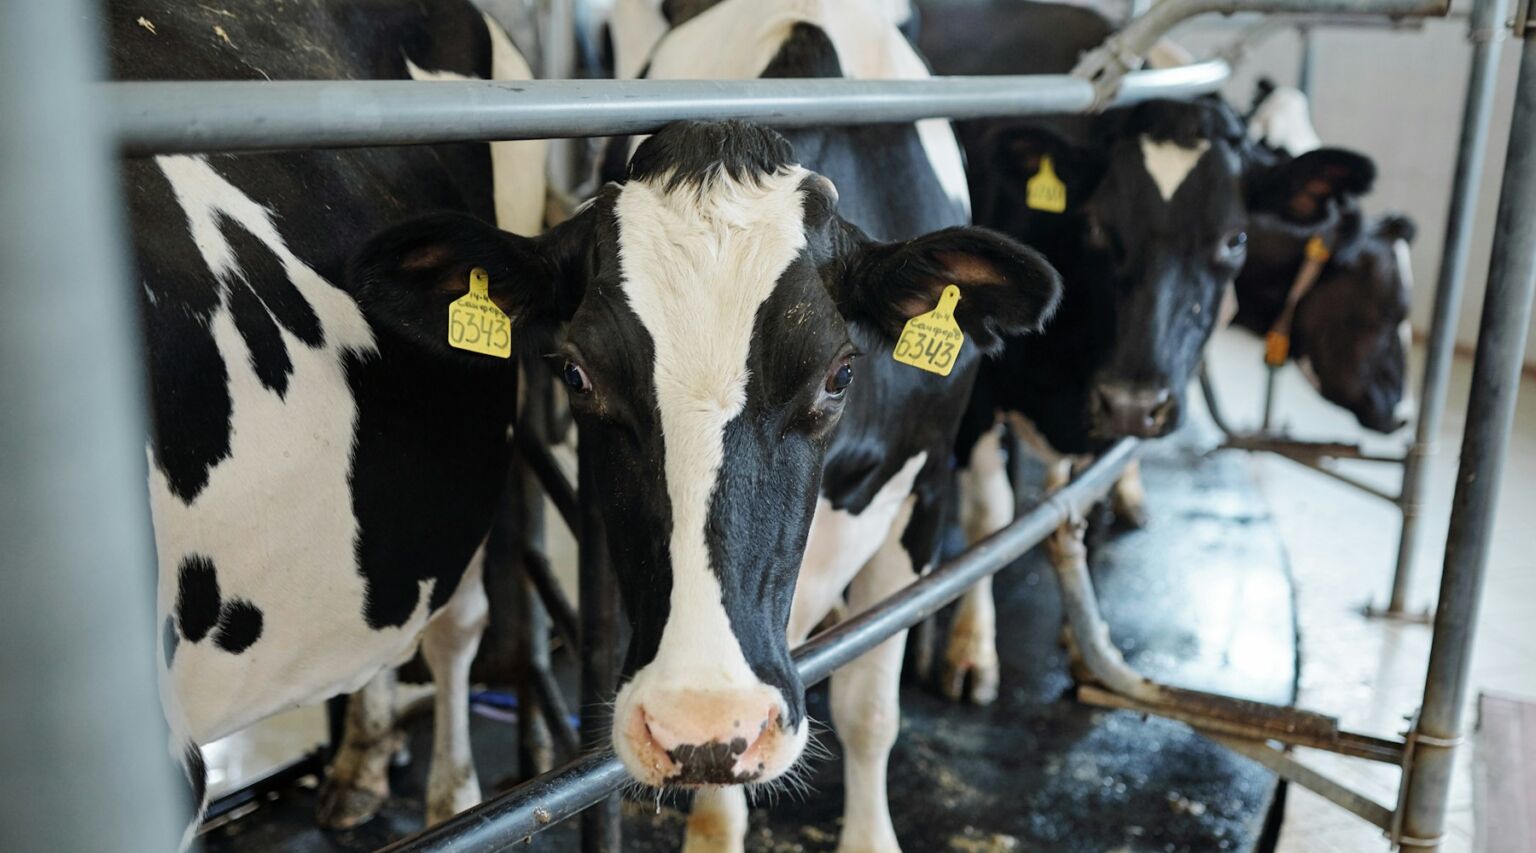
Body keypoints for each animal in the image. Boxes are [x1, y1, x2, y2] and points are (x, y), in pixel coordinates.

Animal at [918, 0, 1383, 705]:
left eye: (1235, 238)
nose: (1135, 403)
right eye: (1098, 226)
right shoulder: (977, 387)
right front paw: (972, 651)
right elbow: (987, 516)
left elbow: (1083, 497)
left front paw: (1083, 636)